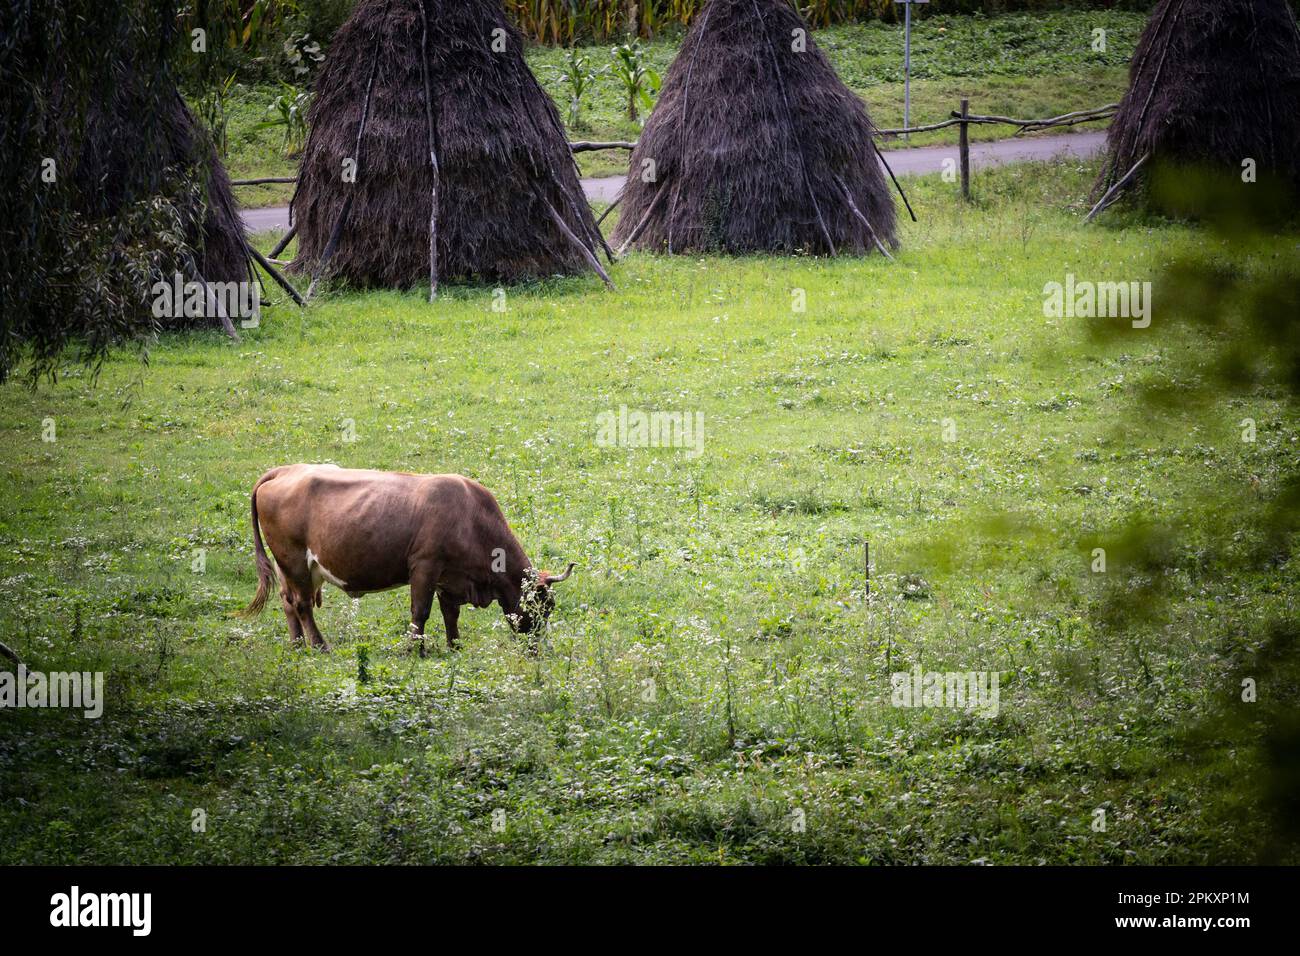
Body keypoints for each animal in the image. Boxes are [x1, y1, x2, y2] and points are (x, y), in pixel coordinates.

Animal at [240, 464, 574, 654]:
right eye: (541, 606)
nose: (539, 650)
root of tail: (284, 470)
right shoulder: (425, 566)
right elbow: (420, 611)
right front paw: (416, 650)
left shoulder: (449, 578)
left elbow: (450, 614)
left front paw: (455, 647)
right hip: (295, 560)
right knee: (302, 604)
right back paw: (321, 646)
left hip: (290, 566)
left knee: (287, 601)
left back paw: (298, 645)